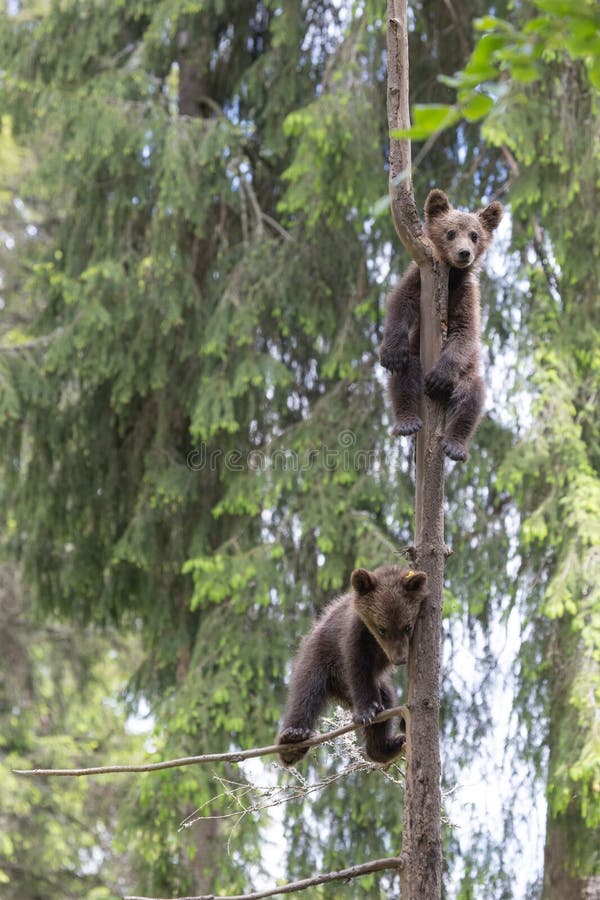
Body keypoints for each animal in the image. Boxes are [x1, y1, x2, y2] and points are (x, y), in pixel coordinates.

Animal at [276, 565, 428, 766]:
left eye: (407, 626)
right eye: (382, 629)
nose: (399, 659)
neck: (375, 643)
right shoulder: (353, 636)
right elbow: (358, 669)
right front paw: (367, 711)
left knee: (386, 698)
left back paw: (388, 745)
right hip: (317, 657)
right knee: (305, 693)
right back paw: (292, 740)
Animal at [379, 188, 503, 462]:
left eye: (475, 235)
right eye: (450, 232)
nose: (464, 253)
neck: (451, 278)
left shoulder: (467, 296)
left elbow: (464, 333)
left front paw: (438, 377)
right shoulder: (418, 279)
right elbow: (400, 303)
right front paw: (391, 352)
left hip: (466, 375)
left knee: (472, 397)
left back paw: (455, 445)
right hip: (416, 353)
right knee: (405, 376)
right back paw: (407, 422)